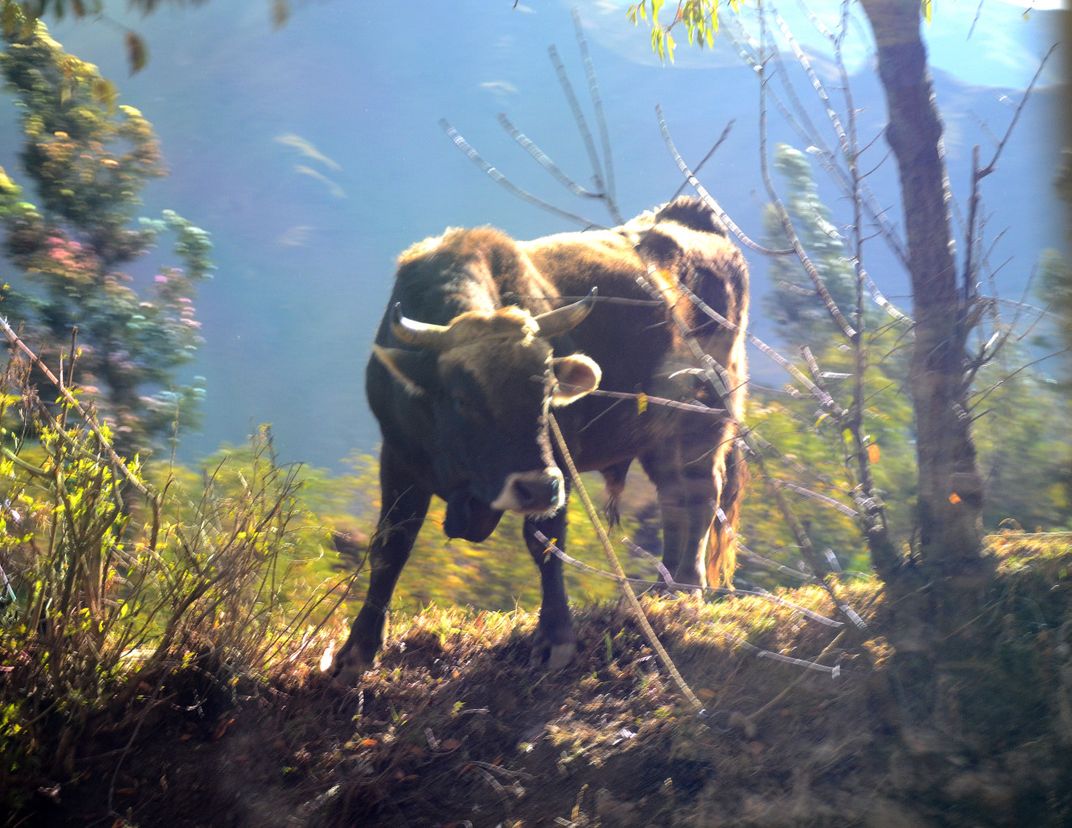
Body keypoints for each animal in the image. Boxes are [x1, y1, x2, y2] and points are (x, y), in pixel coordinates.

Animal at [333, 197, 748, 682]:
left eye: (548, 393)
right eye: (462, 398)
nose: (535, 488)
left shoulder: (560, 465)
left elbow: (546, 544)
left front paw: (555, 639)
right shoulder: (398, 458)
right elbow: (390, 548)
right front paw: (356, 651)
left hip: (704, 422)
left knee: (700, 497)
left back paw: (685, 587)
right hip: (658, 438)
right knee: (675, 500)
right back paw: (661, 590)